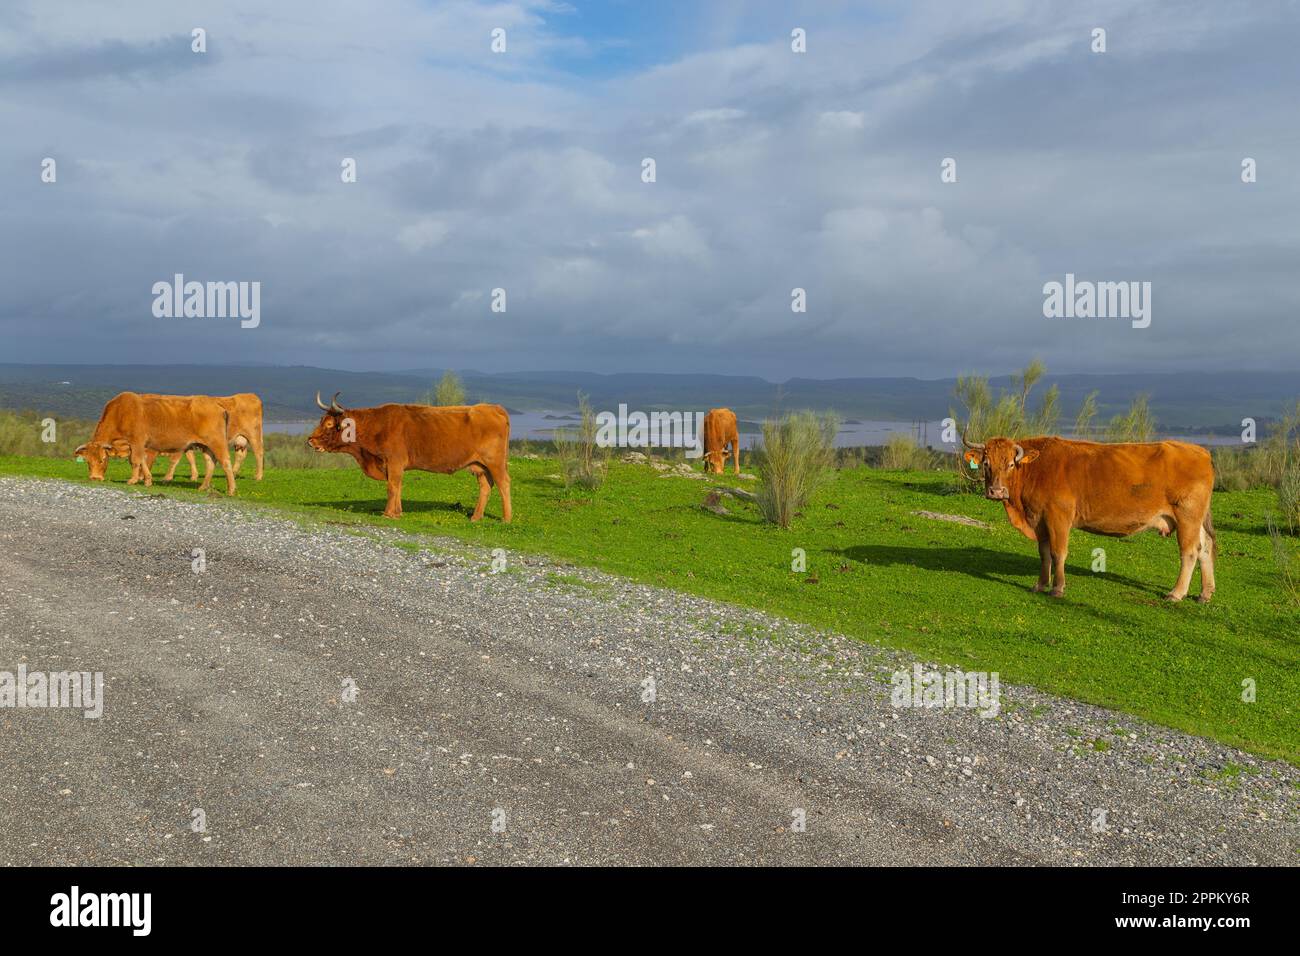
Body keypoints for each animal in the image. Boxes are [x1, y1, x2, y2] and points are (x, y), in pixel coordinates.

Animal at [74, 392, 238, 495]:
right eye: (87, 462)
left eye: (103, 459)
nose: (95, 478)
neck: (121, 413)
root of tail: (216, 404)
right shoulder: (139, 446)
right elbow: (142, 461)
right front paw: (147, 480)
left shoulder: (137, 441)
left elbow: (135, 461)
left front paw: (133, 480)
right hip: (206, 446)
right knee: (210, 463)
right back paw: (203, 487)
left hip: (217, 442)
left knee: (225, 462)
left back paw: (231, 490)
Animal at [307, 392, 511, 521]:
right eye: (321, 420)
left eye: (329, 424)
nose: (310, 440)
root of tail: (493, 408)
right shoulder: (393, 466)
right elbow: (397, 487)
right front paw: (398, 513)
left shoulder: (394, 462)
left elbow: (392, 487)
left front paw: (388, 514)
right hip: (480, 465)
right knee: (486, 486)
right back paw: (476, 517)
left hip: (495, 462)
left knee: (503, 483)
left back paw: (506, 519)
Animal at [961, 434, 1216, 602]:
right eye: (986, 463)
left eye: (1011, 464)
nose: (996, 491)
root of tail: (1200, 451)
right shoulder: (1039, 520)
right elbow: (1044, 554)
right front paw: (1040, 584)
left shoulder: (1059, 517)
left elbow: (1058, 553)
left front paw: (1057, 588)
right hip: (1196, 520)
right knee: (1205, 548)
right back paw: (1205, 593)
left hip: (1187, 516)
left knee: (1190, 552)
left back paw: (1176, 593)